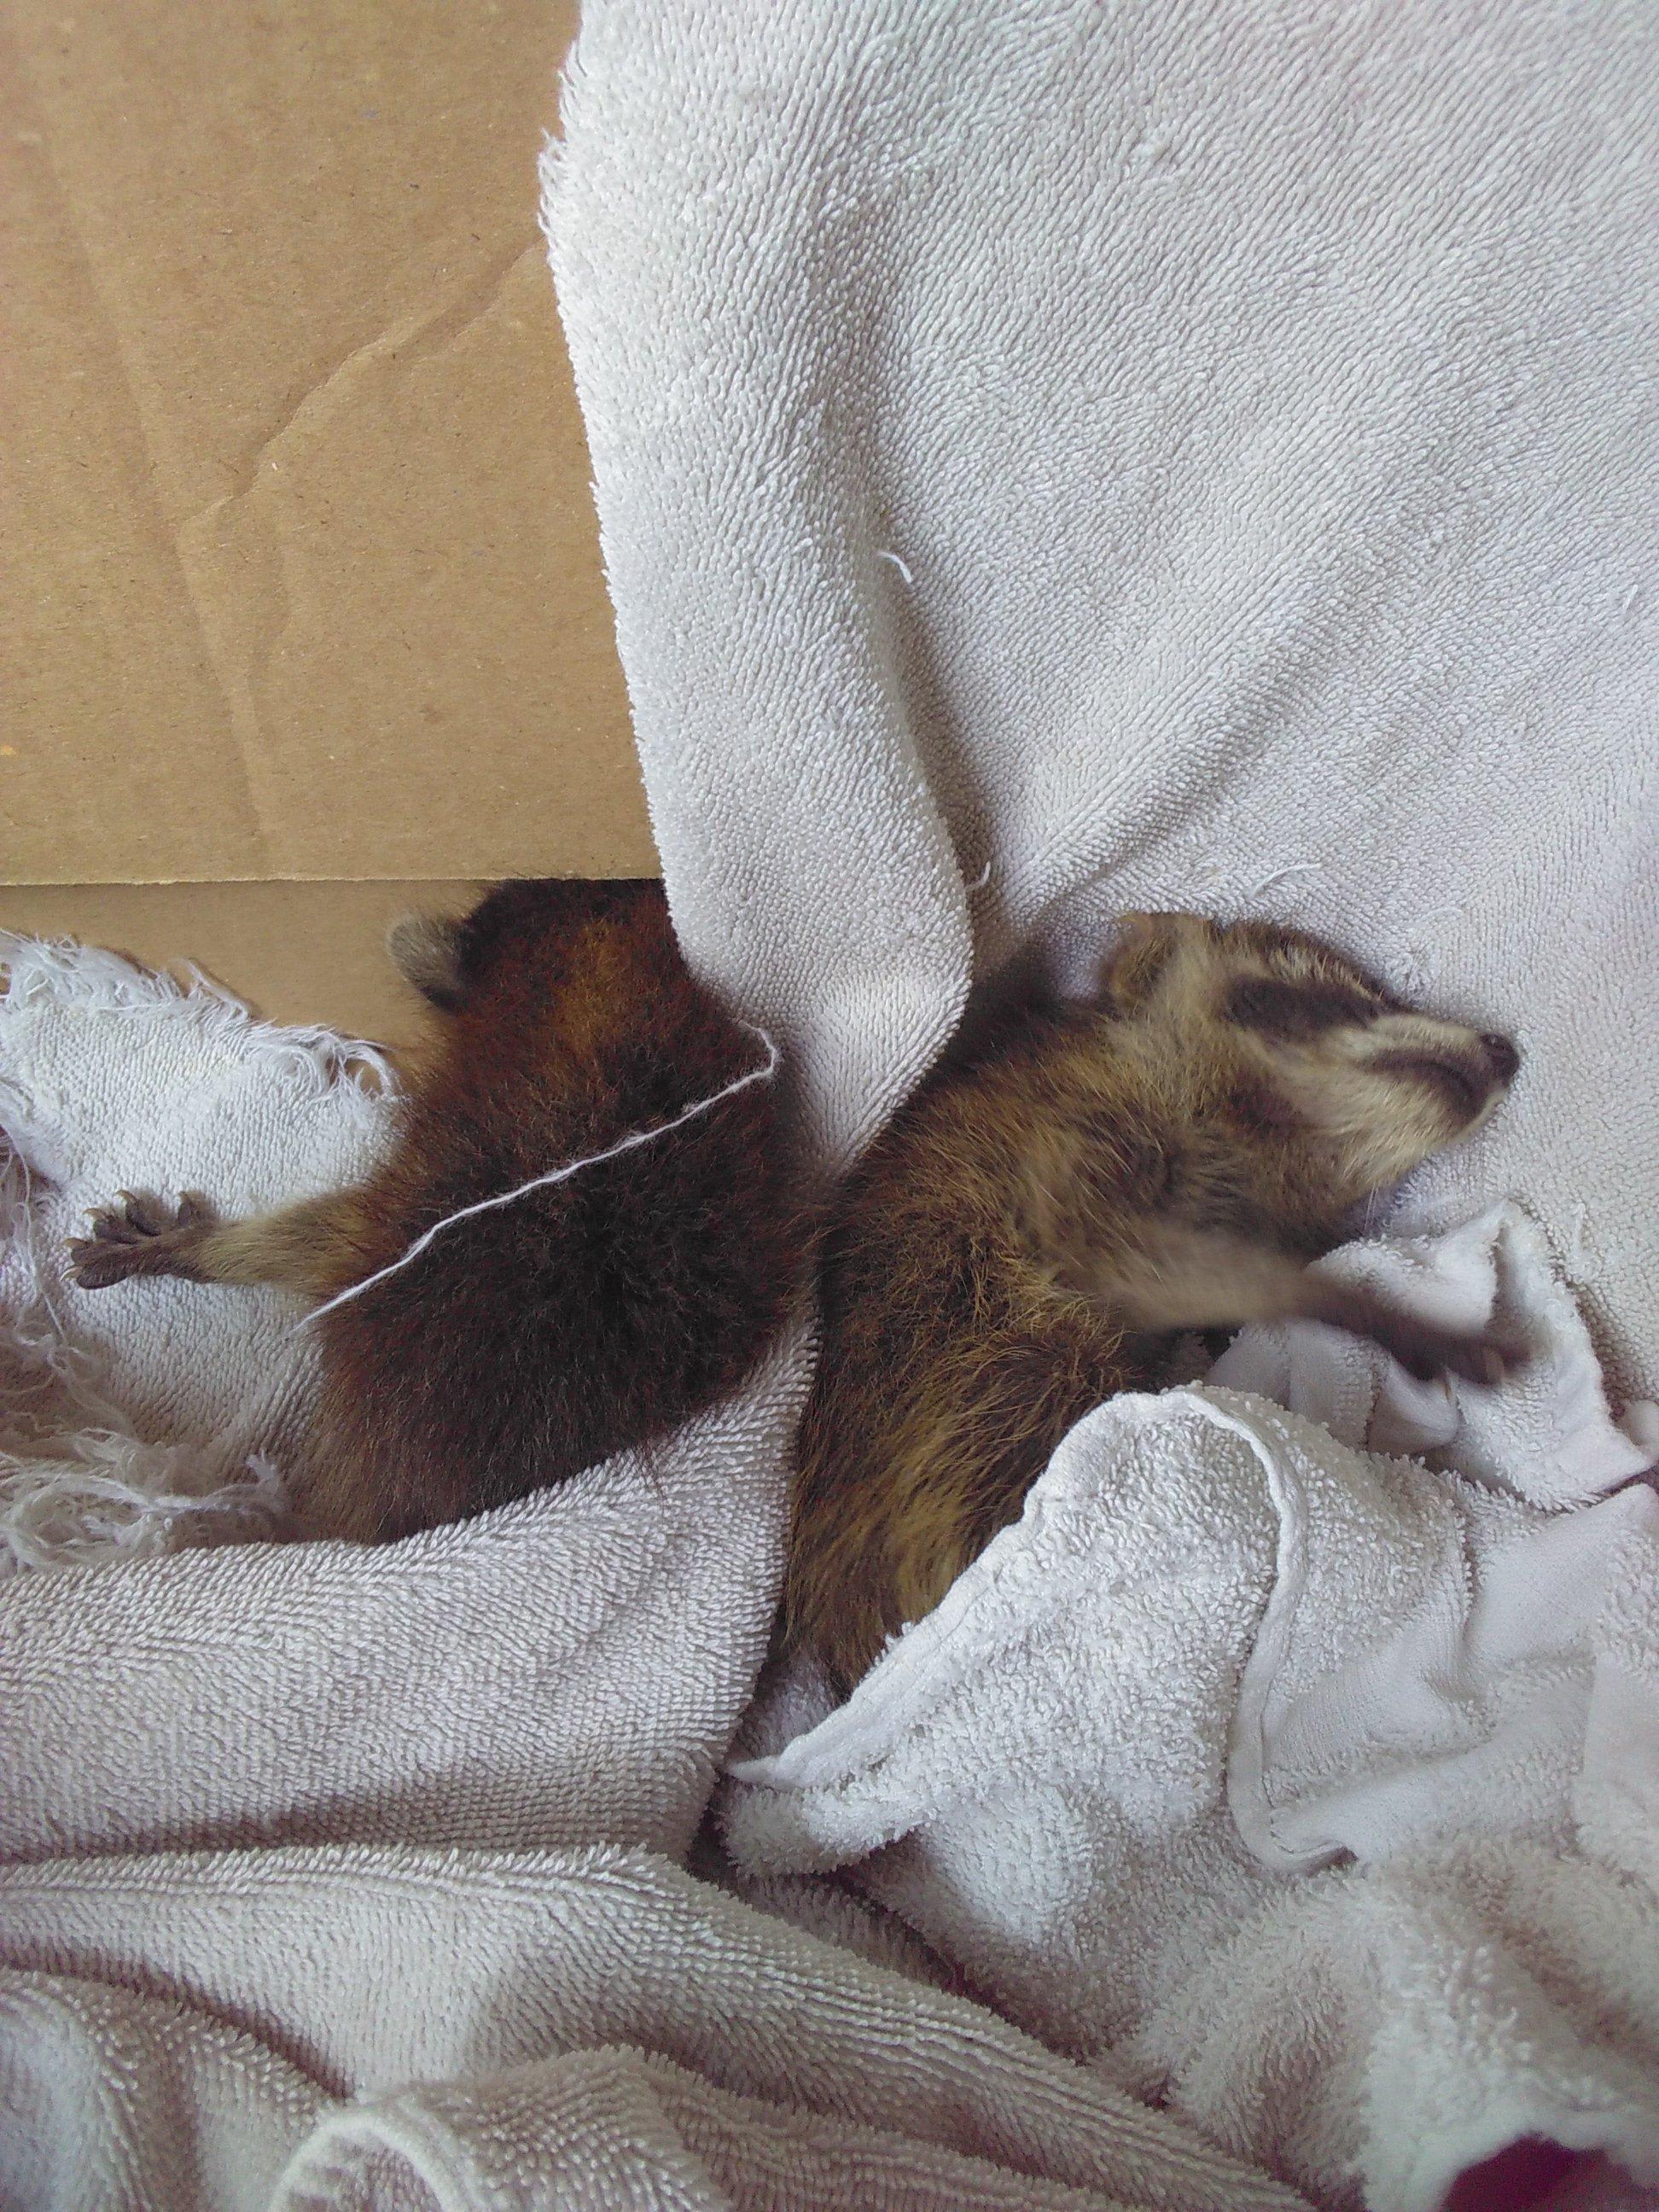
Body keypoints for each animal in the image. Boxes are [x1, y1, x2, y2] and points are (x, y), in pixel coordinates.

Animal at [784, 911, 1523, 1692]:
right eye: (1338, 999)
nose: (1503, 1049)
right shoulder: (1069, 1140)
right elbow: (1108, 1254)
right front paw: (1355, 1304)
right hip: (977, 1374)